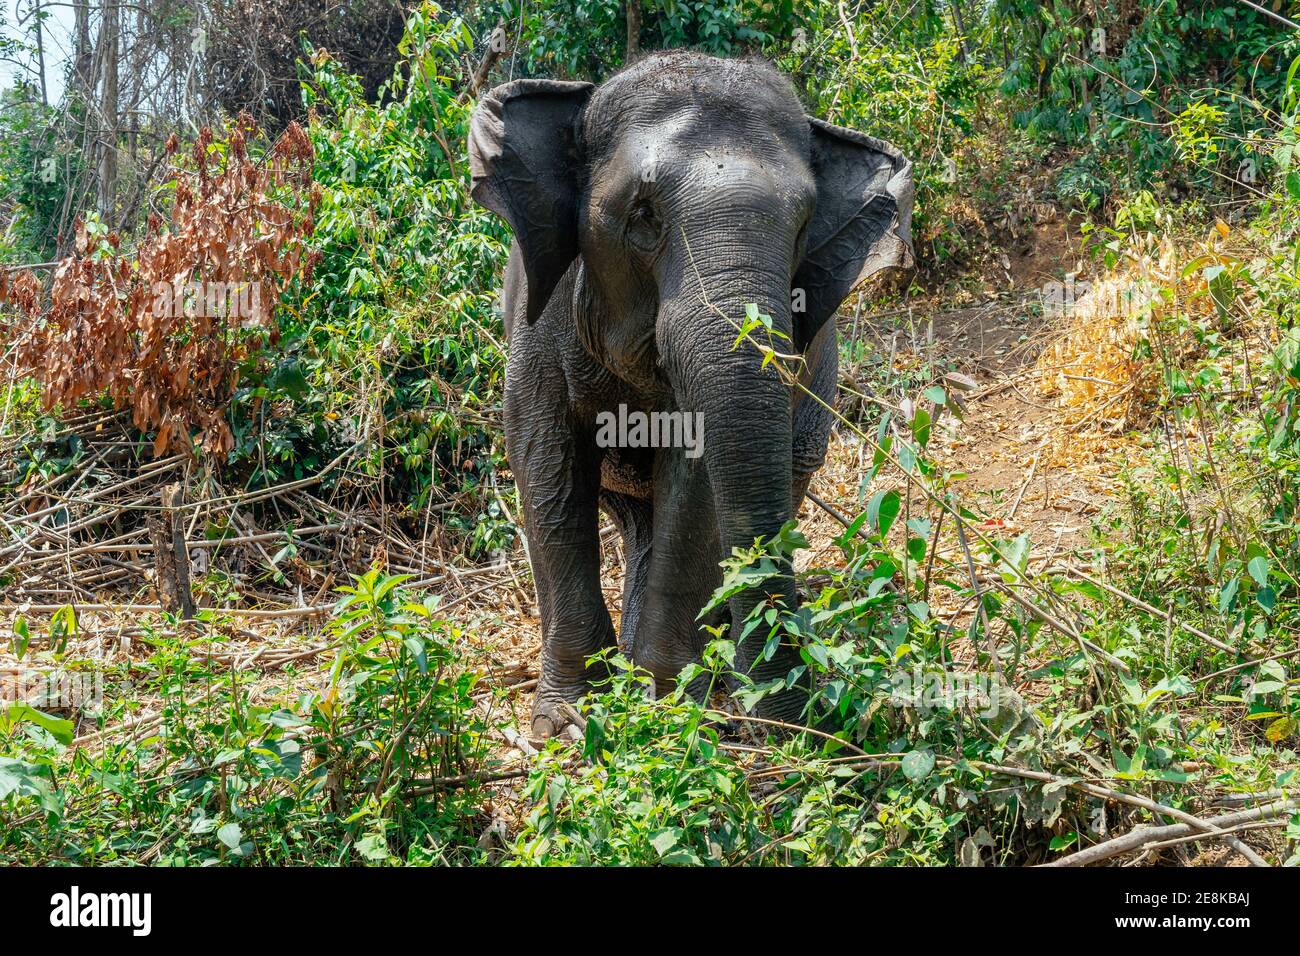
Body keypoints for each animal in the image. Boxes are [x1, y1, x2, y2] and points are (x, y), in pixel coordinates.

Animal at [468, 50, 914, 738]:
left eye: (803, 226)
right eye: (643, 214)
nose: (810, 724)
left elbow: (697, 479)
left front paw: (672, 706)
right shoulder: (537, 331)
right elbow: (547, 468)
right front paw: (569, 721)